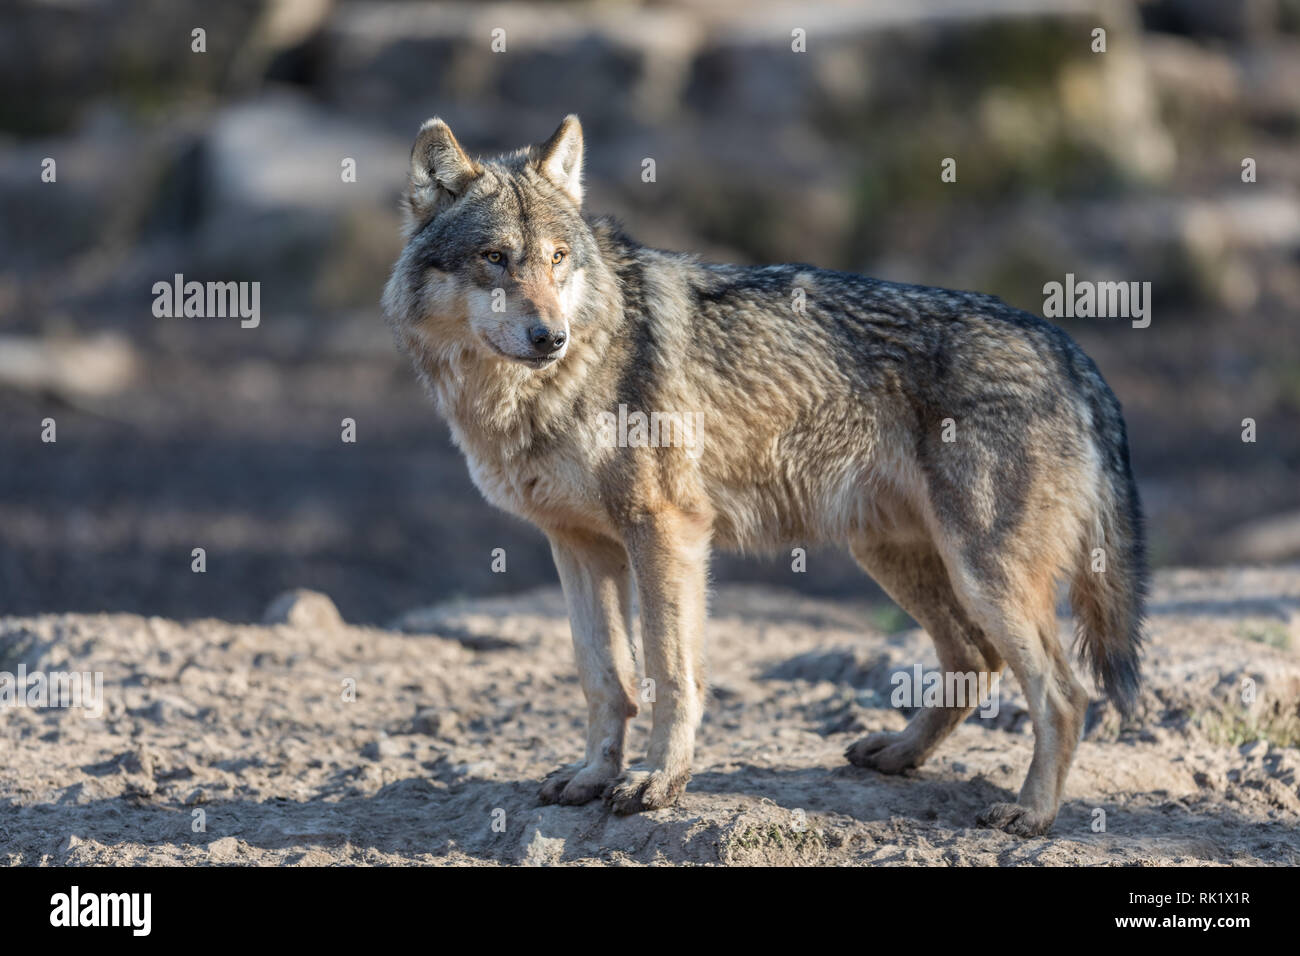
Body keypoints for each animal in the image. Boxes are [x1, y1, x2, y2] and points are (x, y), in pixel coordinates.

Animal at [381, 115, 1147, 836]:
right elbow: (604, 676)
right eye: (495, 258)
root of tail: (1068, 346)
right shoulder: (578, 545)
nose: (550, 337)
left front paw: (658, 781)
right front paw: (594, 776)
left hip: (980, 572)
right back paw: (901, 755)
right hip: (896, 557)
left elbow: (669, 672)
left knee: (1065, 695)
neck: (543, 389)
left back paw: (1031, 815)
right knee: (976, 658)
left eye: (557, 259)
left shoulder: (668, 532)